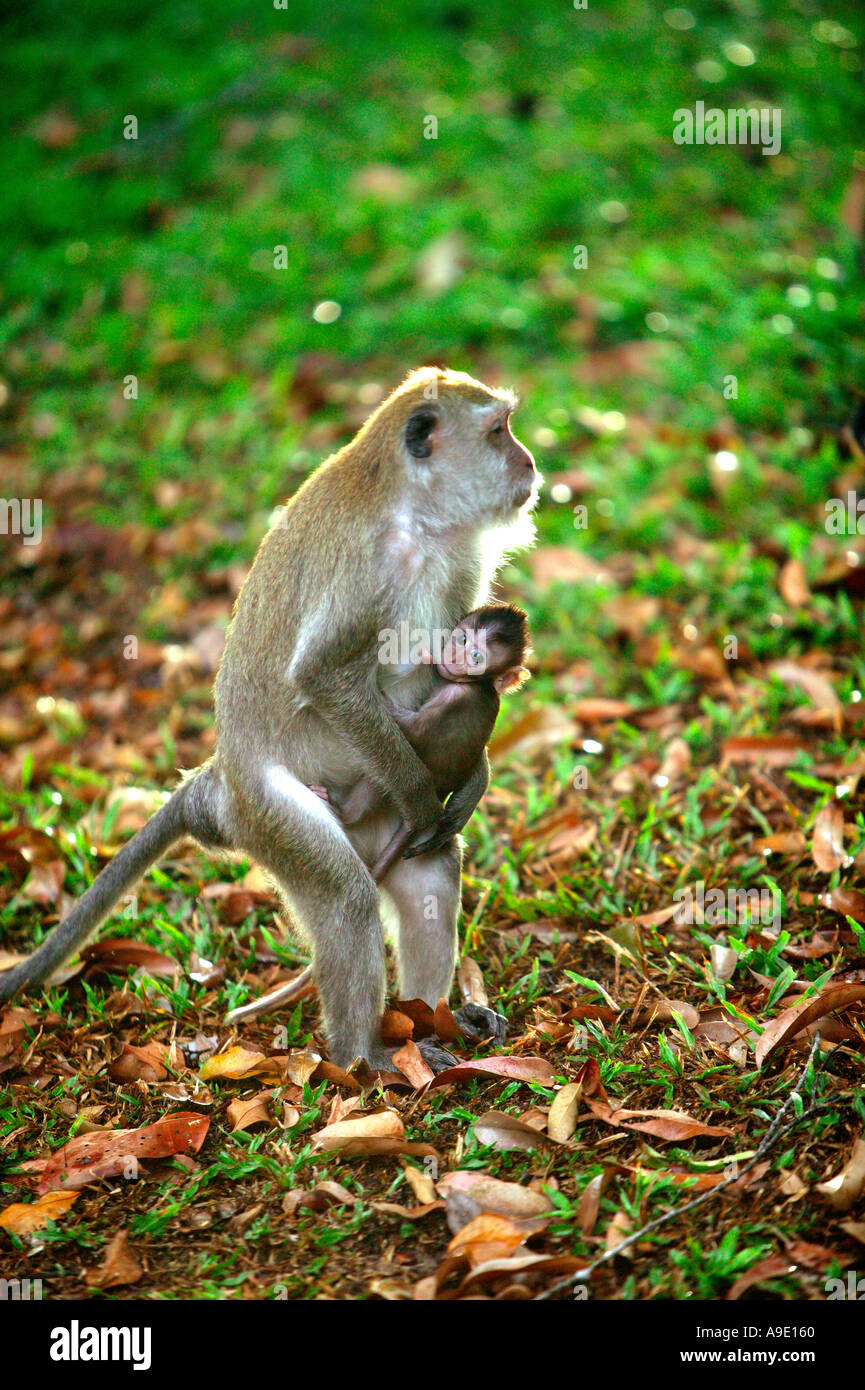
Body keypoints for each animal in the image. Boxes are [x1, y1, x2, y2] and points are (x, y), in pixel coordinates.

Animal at [225, 603, 530, 1027]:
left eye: (476, 657)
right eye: (463, 637)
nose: (452, 656)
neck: (479, 687)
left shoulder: (453, 697)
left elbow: (415, 730)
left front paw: (384, 697)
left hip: (384, 788)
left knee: (380, 776)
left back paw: (344, 808)